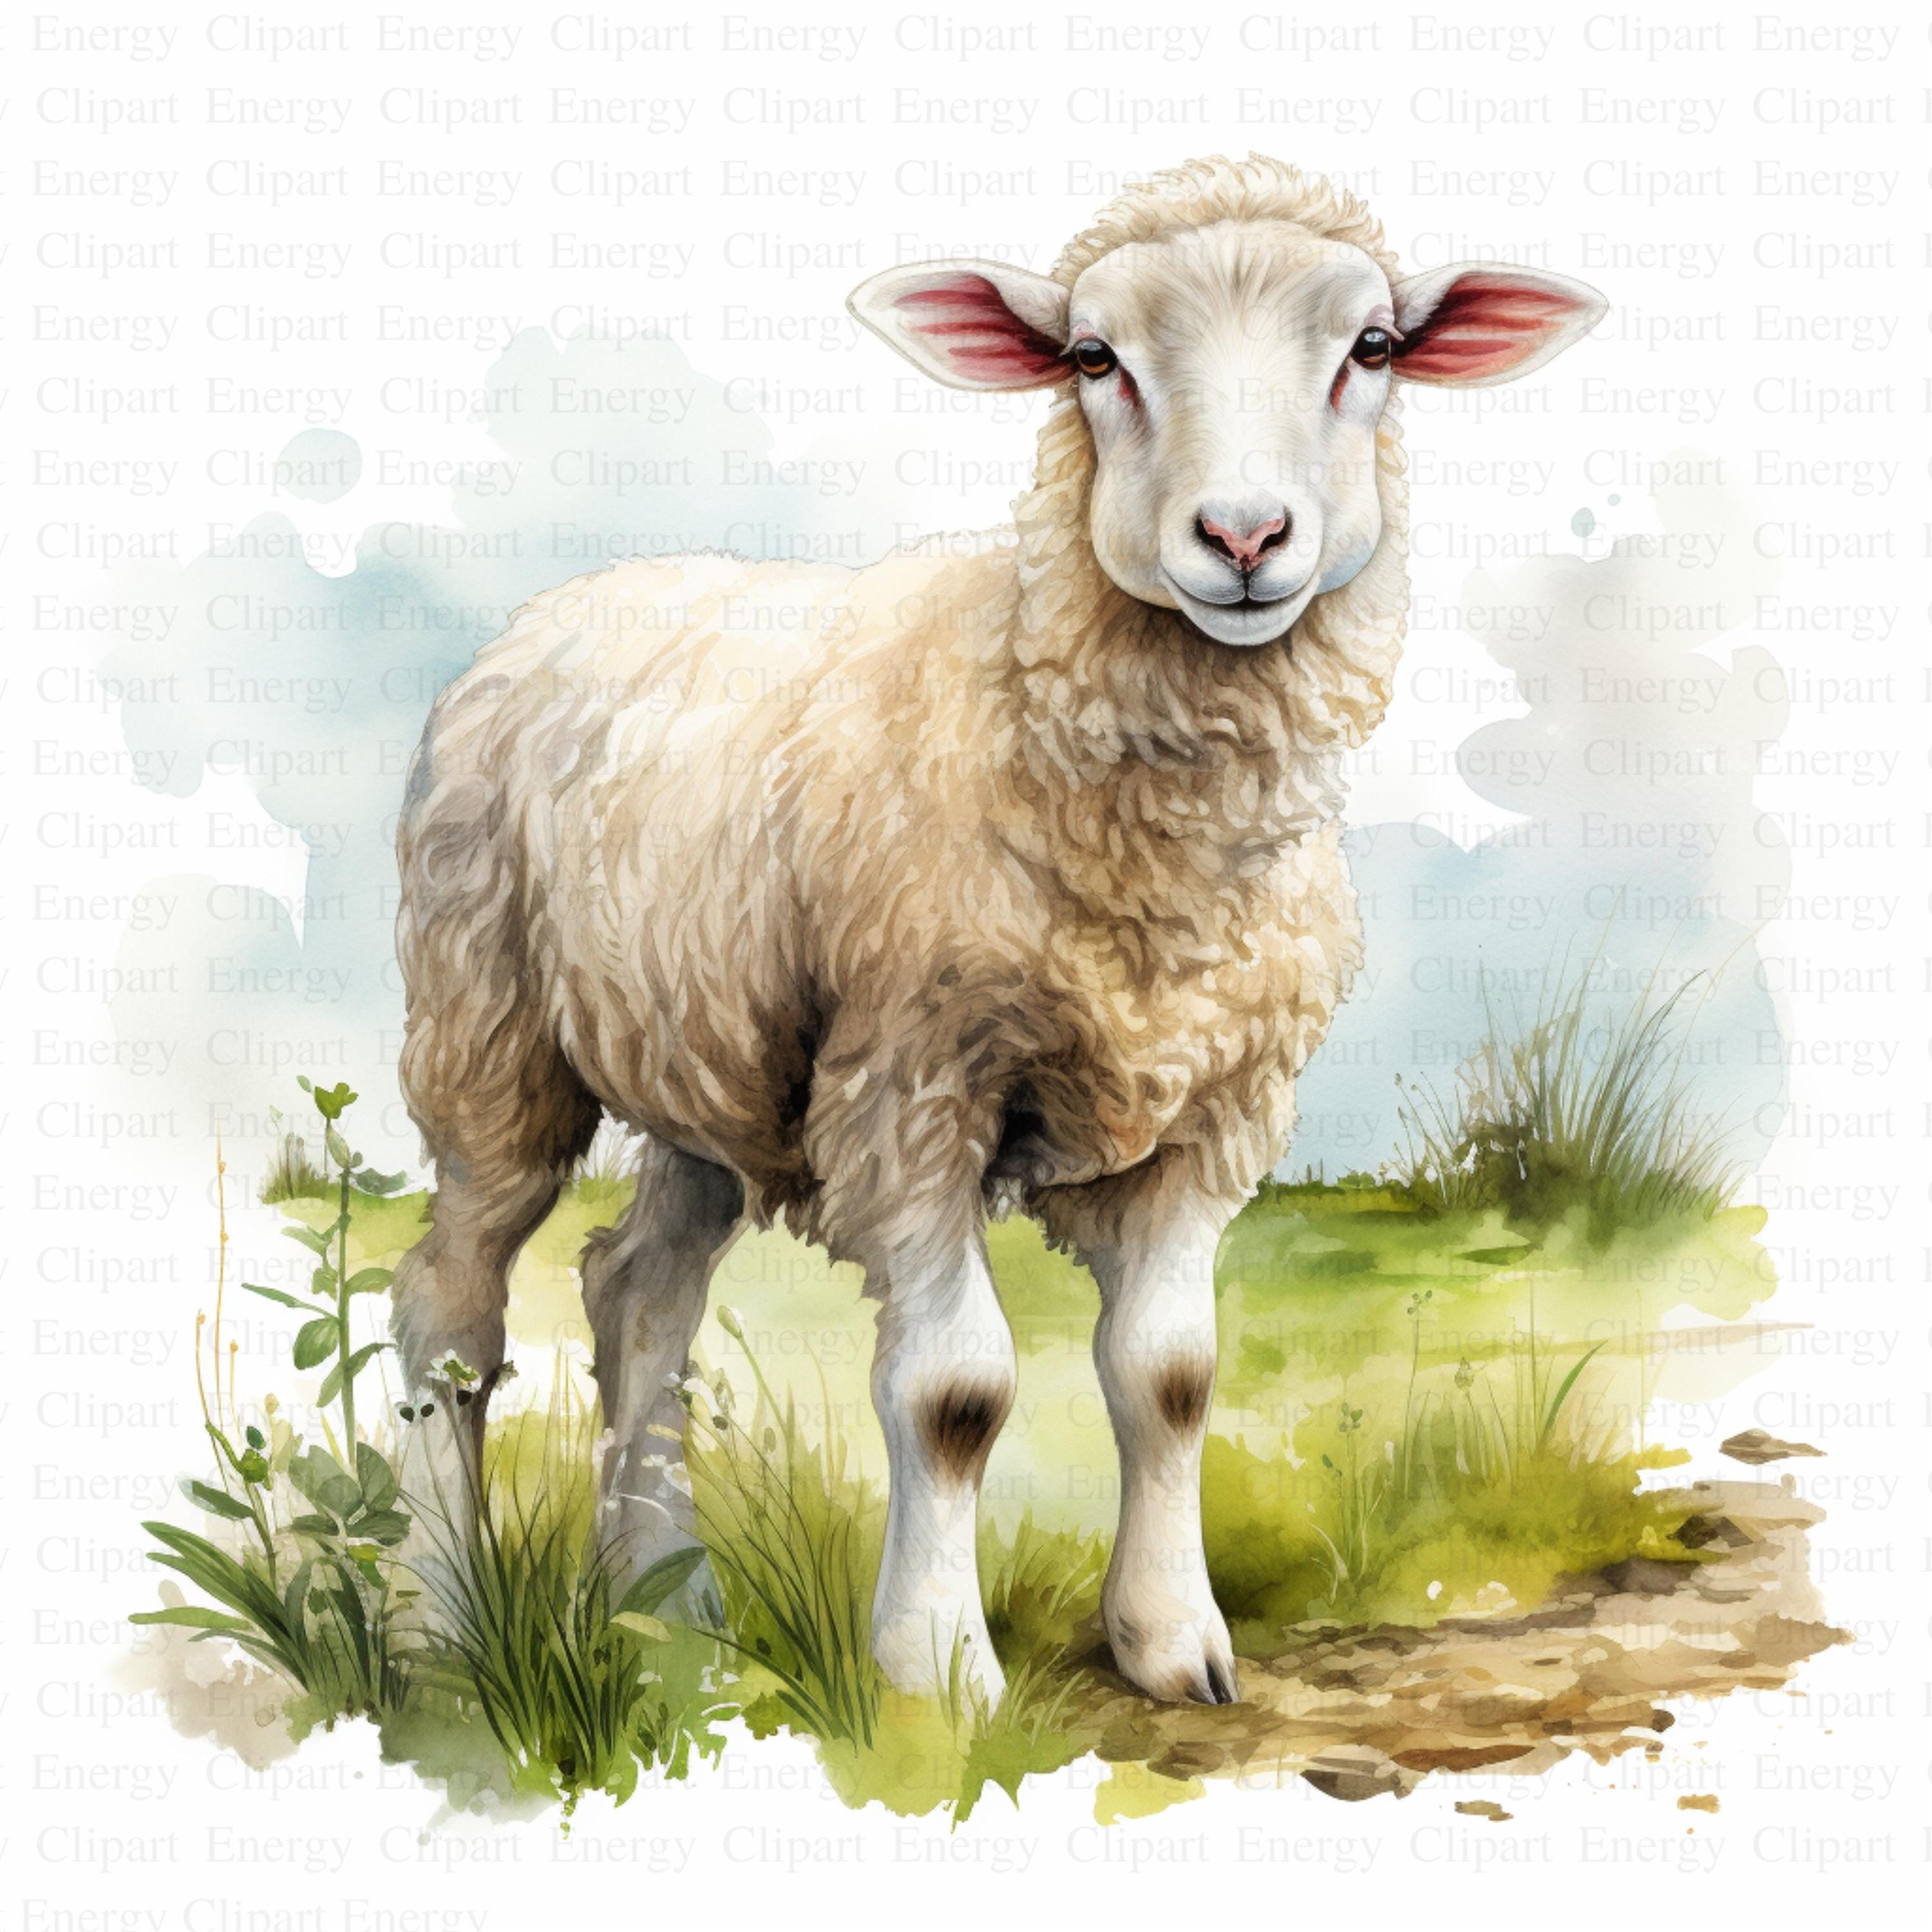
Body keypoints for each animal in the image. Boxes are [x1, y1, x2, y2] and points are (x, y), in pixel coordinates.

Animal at [390, 154, 1605, 1706]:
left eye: (1374, 348)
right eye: (1094, 359)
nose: (1245, 538)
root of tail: (573, 595)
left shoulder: (1213, 1110)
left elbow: (1170, 1376)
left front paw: (1172, 1645)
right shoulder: (912, 1086)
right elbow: (953, 1392)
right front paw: (941, 1676)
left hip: (712, 1062)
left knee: (637, 1296)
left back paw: (672, 1606)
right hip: (488, 1027)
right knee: (452, 1311)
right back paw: (439, 1621)